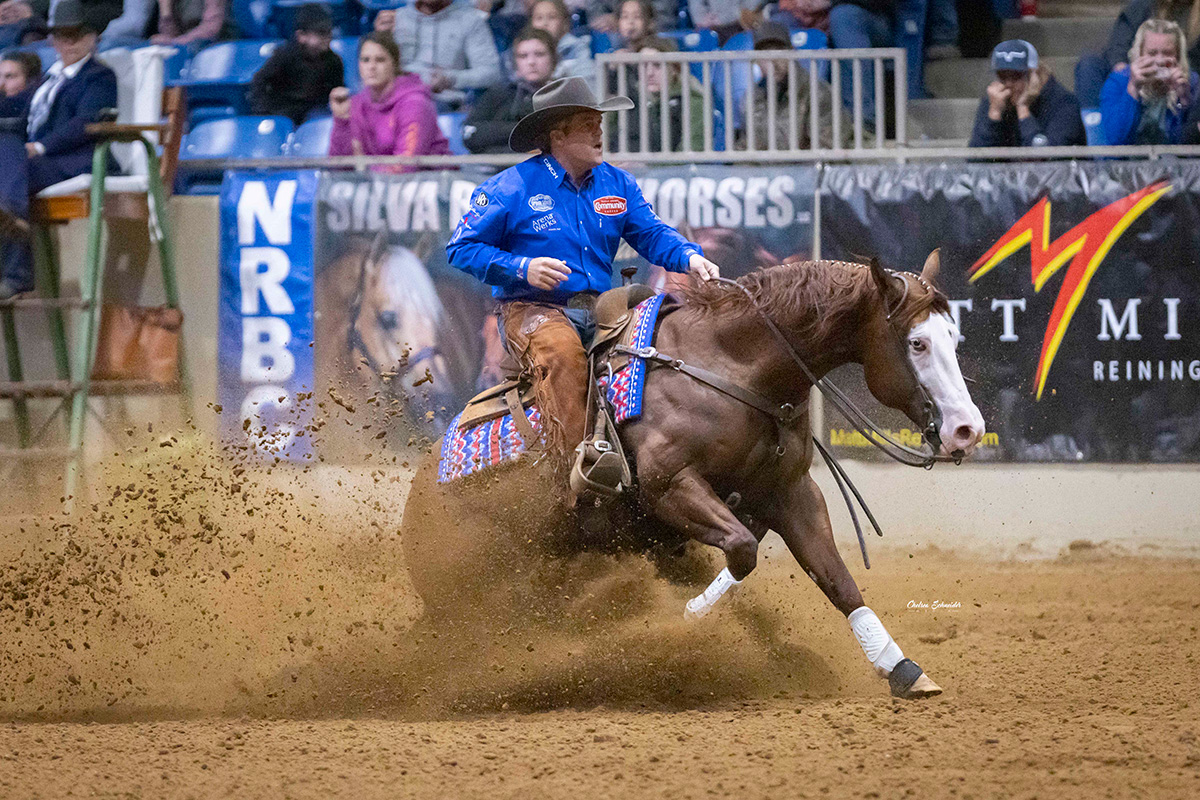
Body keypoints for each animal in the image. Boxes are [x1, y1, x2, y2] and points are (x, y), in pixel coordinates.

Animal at [399, 251, 985, 699]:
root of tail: (418, 498)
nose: (968, 429)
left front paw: (903, 670)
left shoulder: (792, 494)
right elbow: (743, 549)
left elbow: (836, 579)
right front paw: (686, 619)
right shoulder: (671, 488)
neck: (734, 368)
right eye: (916, 343)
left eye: (953, 337)